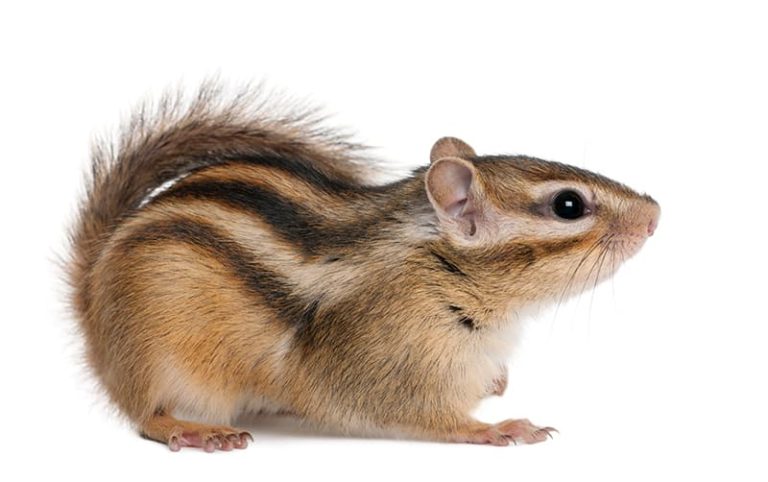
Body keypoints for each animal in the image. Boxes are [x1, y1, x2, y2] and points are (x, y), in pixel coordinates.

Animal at [67, 83, 660, 452]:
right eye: (568, 205)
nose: (655, 216)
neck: (438, 270)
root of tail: (92, 296)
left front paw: (498, 384)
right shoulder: (389, 365)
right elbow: (426, 417)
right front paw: (498, 429)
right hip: (155, 358)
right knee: (147, 416)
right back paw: (196, 430)